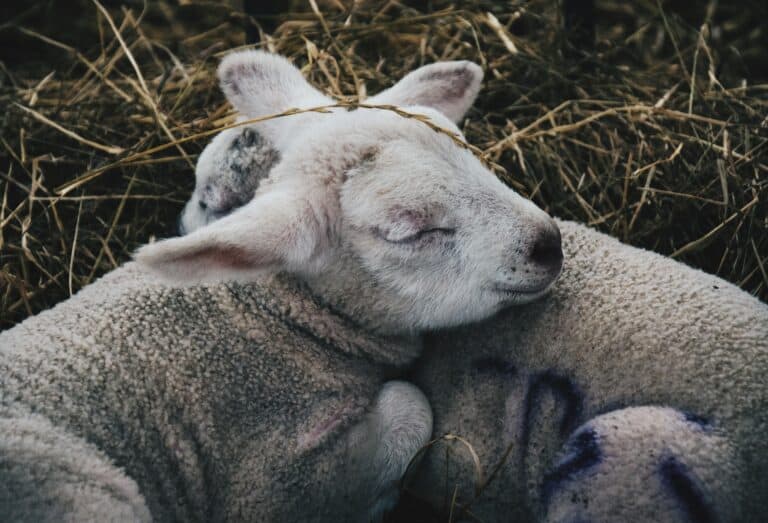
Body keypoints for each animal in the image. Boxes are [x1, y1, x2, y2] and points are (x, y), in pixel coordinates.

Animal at [0, 50, 563, 522]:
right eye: (409, 230)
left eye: (471, 154)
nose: (550, 244)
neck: (274, 314)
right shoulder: (270, 487)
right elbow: (410, 405)